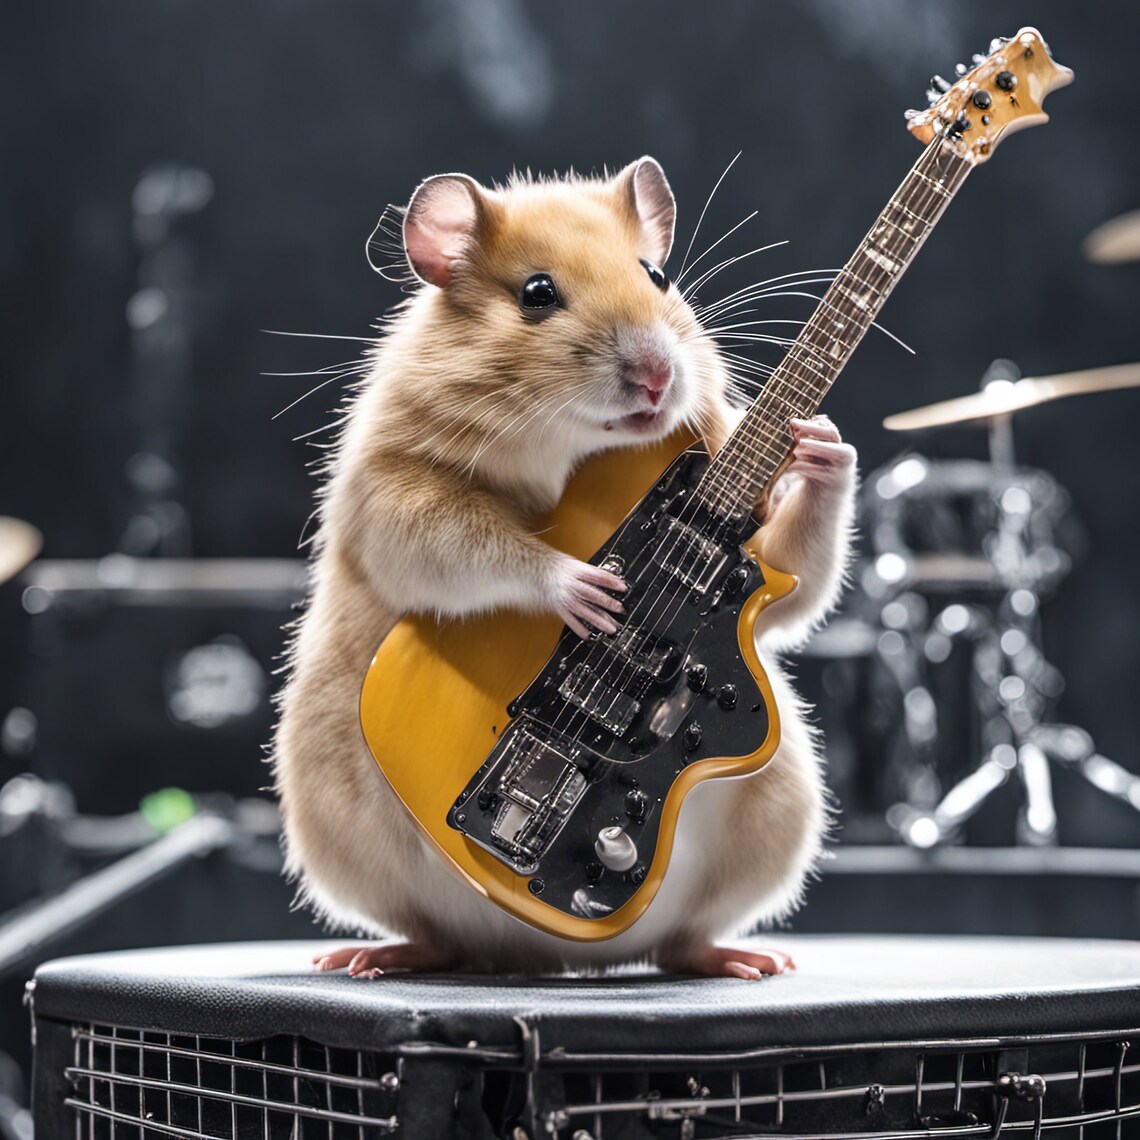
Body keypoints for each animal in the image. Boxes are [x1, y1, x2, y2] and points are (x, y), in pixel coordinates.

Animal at [272, 157, 856, 979]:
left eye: (656, 275)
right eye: (537, 295)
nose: (657, 376)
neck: (568, 439)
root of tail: (535, 944)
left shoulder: (753, 547)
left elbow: (796, 573)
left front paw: (825, 447)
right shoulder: (391, 489)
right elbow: (457, 540)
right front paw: (584, 589)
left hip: (780, 806)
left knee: (683, 942)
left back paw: (739, 958)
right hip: (334, 822)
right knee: (430, 931)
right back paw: (378, 954)